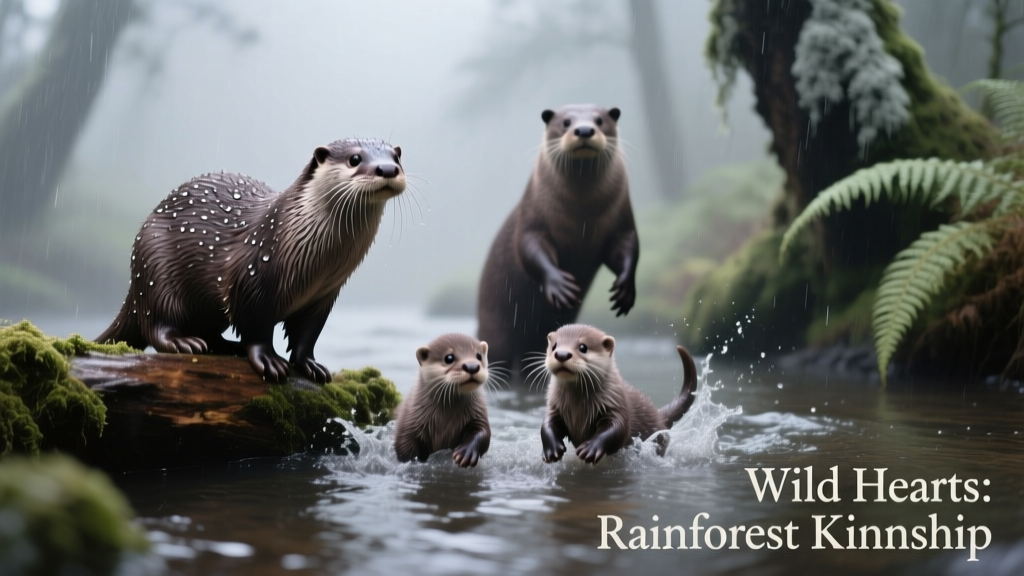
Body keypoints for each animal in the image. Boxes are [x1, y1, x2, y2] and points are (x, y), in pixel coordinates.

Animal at [96, 138, 406, 383]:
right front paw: (268, 361)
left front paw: (310, 364)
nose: (388, 169)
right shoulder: (253, 275)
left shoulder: (323, 296)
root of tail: (134, 285)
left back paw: (227, 346)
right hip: (155, 270)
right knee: (155, 325)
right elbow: (255, 326)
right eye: (355, 158)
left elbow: (307, 334)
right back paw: (184, 342)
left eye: (396, 157)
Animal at [394, 333, 491, 467]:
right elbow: (404, 445)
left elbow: (483, 432)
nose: (472, 366)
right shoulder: (409, 420)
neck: (445, 419)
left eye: (479, 356)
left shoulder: (478, 413)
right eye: (449, 358)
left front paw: (466, 453)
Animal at [477, 105, 639, 383]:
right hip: (495, 326)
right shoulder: (533, 217)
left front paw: (625, 290)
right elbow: (529, 247)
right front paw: (560, 286)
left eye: (600, 120)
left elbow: (628, 246)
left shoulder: (621, 219)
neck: (582, 216)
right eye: (565, 122)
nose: (584, 130)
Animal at [539, 324, 697, 464]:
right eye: (554, 346)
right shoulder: (555, 406)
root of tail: (657, 415)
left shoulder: (615, 404)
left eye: (583, 347)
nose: (561, 354)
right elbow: (547, 424)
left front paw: (590, 449)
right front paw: (552, 450)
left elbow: (616, 429)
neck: (578, 408)